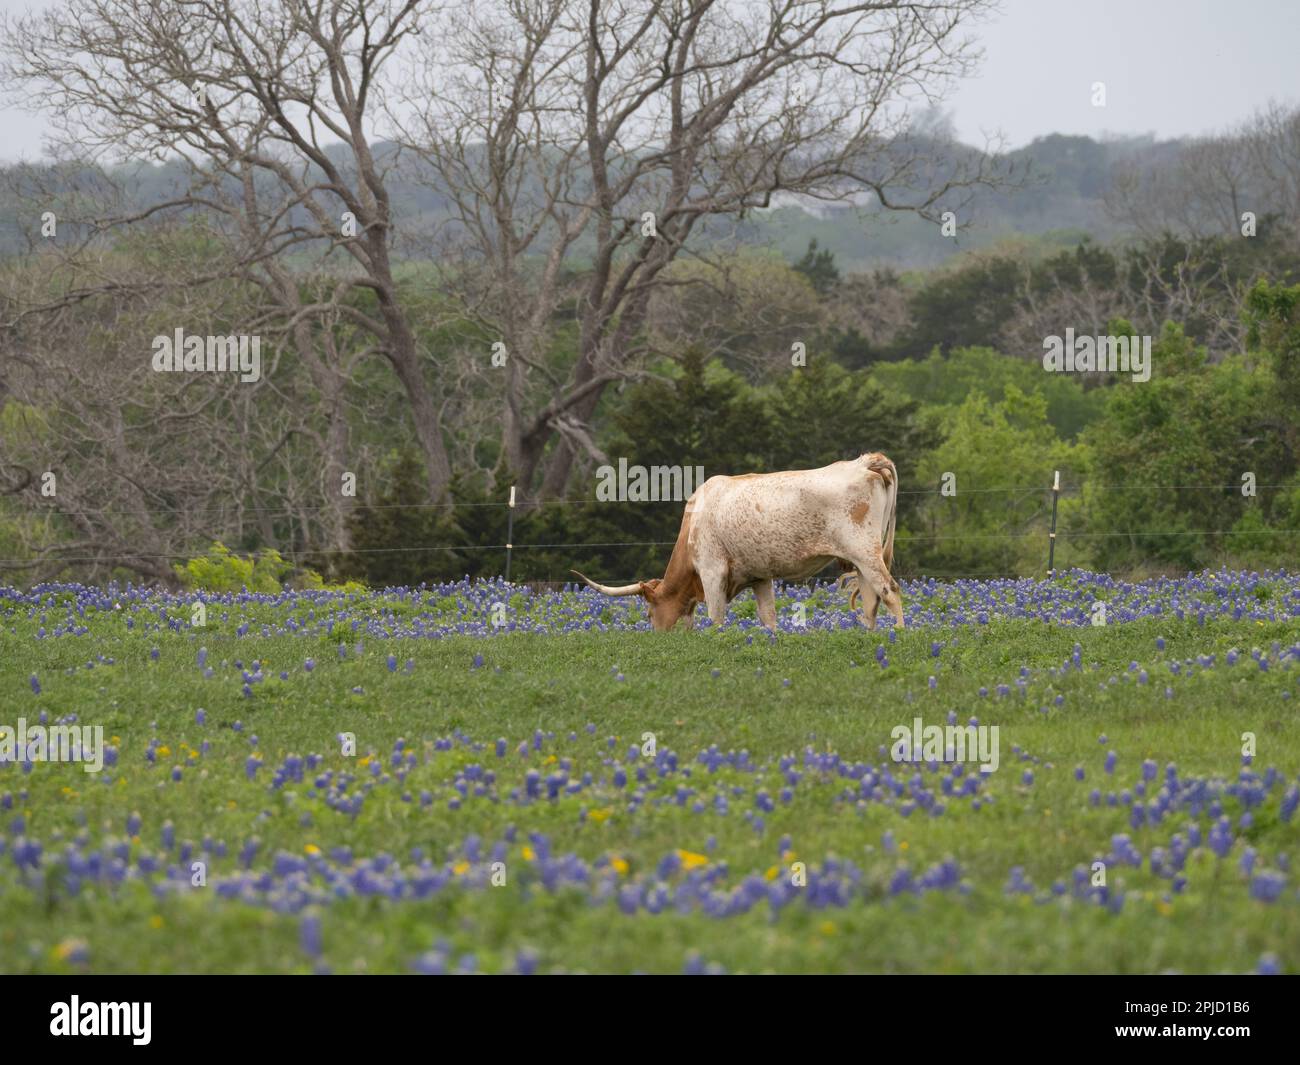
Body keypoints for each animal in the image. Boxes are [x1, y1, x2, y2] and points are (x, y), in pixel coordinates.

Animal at [572, 452, 902, 631]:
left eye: (649, 613)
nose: (658, 636)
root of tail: (866, 462)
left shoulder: (712, 571)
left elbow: (716, 618)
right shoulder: (760, 577)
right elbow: (768, 617)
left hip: (864, 550)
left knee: (889, 591)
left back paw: (898, 633)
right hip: (860, 560)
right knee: (871, 600)